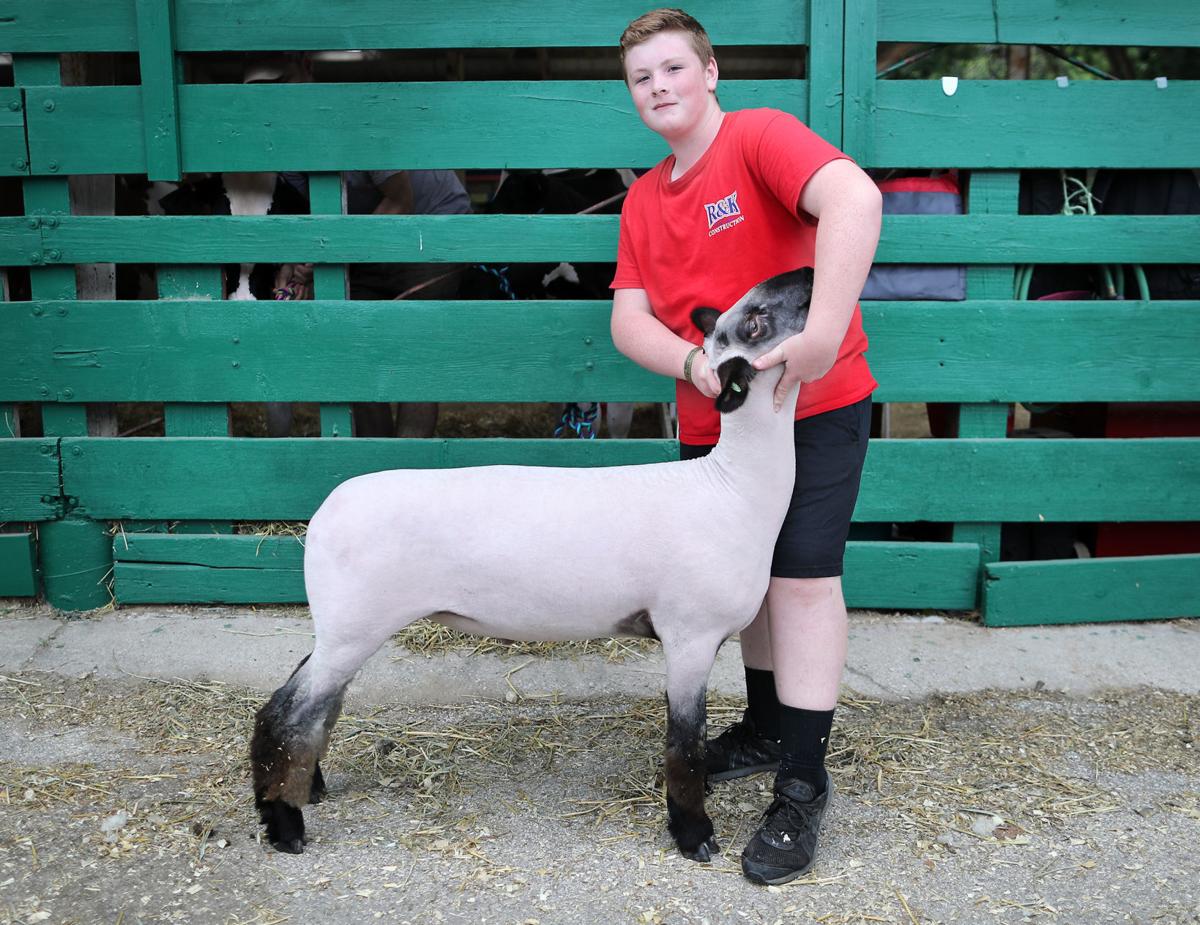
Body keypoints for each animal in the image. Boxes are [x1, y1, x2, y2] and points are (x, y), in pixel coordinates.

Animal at [250, 266, 815, 862]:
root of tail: (321, 516)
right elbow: (684, 744)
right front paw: (694, 834)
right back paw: (284, 825)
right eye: (754, 323)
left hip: (341, 623)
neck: (732, 487)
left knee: (310, 705)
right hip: (355, 623)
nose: (808, 273)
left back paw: (308, 788)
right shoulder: (689, 635)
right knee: (287, 714)